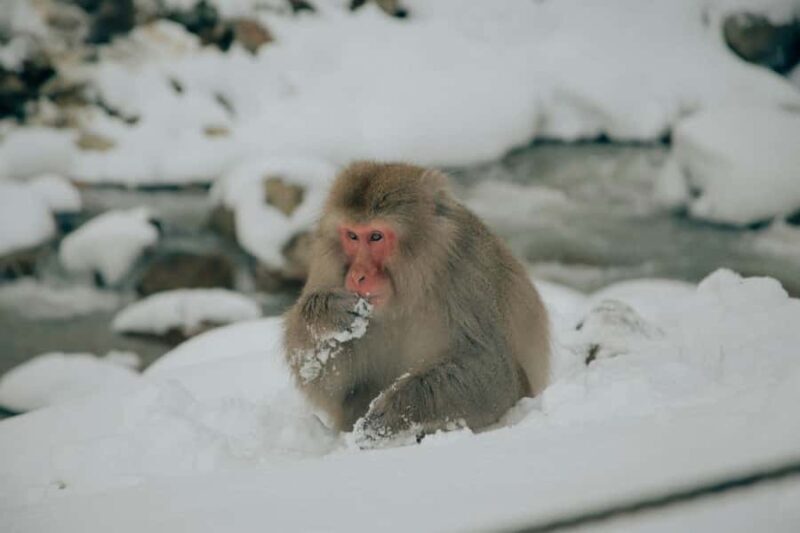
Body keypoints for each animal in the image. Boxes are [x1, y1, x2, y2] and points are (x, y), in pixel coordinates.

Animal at [283, 162, 550, 446]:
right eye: (353, 236)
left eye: (375, 236)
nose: (357, 276)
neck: (409, 289)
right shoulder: (328, 269)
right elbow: (333, 387)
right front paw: (327, 317)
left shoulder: (468, 271)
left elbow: (493, 372)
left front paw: (394, 413)